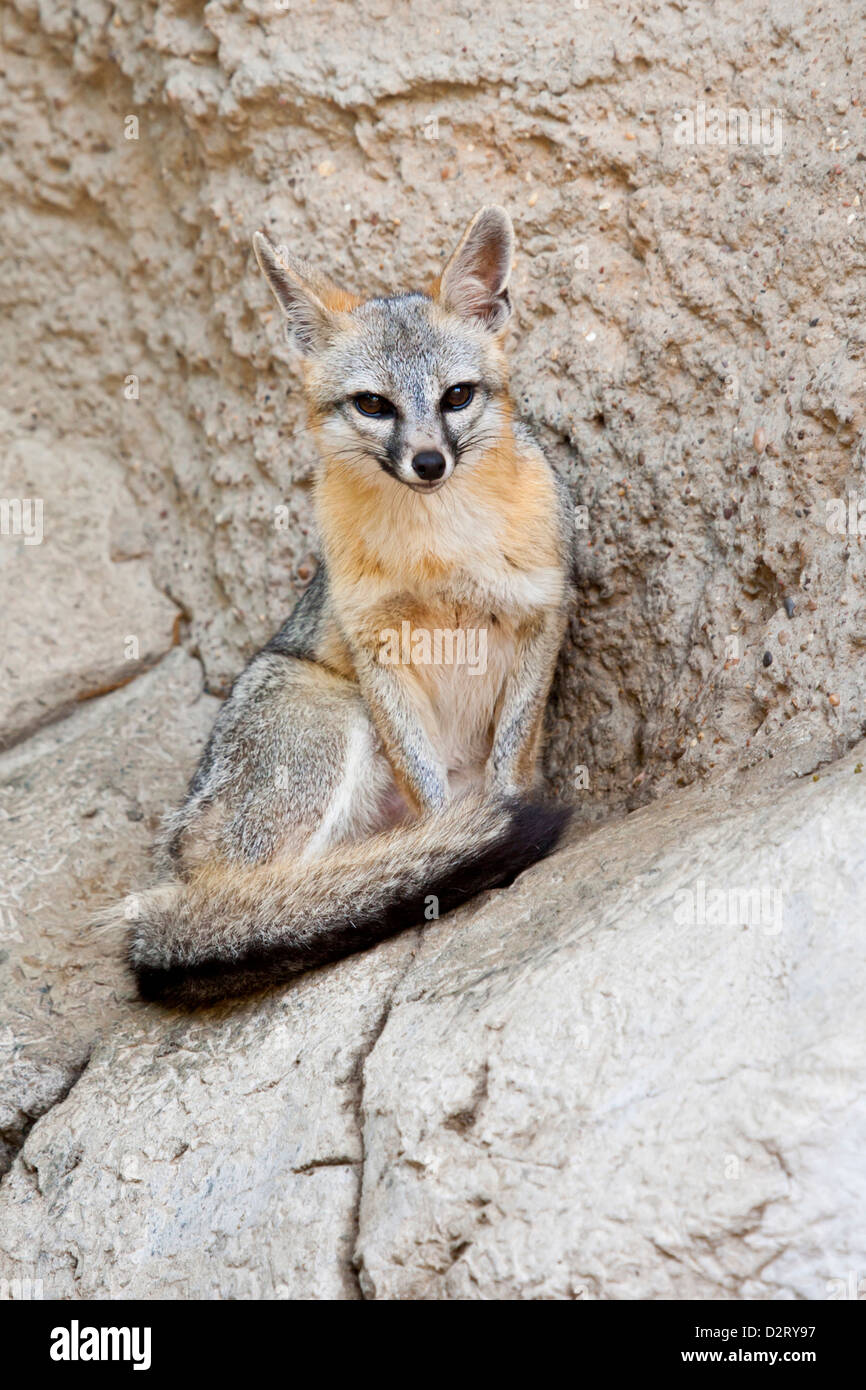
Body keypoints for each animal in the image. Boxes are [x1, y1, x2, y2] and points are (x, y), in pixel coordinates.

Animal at [125, 205, 575, 1006]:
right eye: (374, 405)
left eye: (456, 396)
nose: (428, 463)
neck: (440, 550)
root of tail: (173, 863)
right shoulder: (378, 647)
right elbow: (433, 795)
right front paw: (461, 849)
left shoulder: (539, 618)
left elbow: (510, 757)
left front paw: (489, 830)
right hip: (332, 717)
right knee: (263, 899)